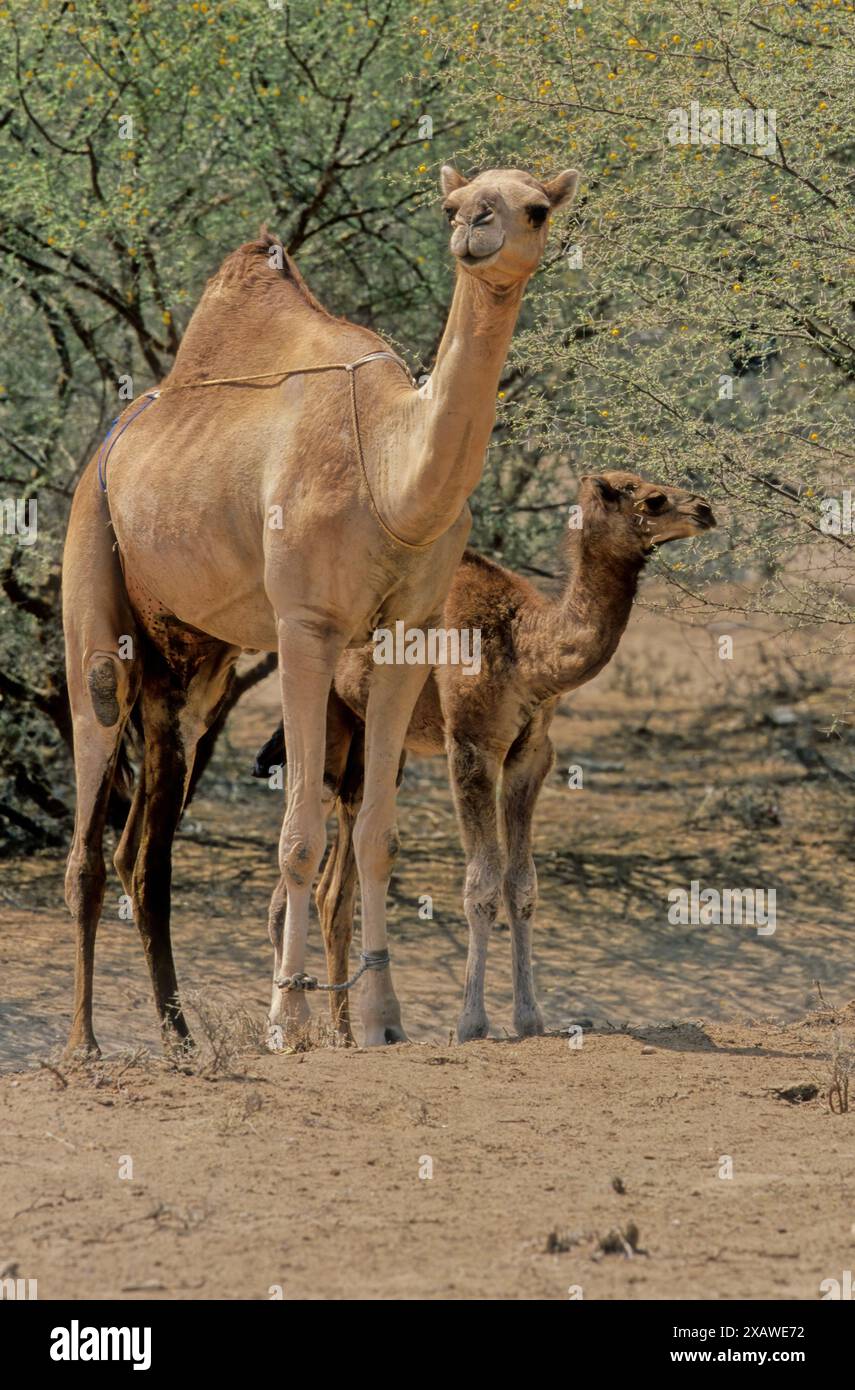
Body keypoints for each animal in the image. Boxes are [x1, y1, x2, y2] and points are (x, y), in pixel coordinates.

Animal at [61, 164, 580, 1056]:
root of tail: (114, 435)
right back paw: (86, 1045)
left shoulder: (408, 633)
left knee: (145, 845)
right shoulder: (304, 627)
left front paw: (380, 1020)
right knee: (92, 791)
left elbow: (375, 836)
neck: (389, 474)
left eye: (536, 209)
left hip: (189, 662)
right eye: (452, 204)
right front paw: (289, 1020)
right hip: (89, 560)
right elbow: (299, 834)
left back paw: (179, 1039)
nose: (475, 229)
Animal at [254, 471, 716, 1041]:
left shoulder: (530, 754)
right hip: (328, 718)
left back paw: (345, 1035)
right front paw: (472, 1022)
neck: (526, 647)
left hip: (372, 744)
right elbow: (482, 885)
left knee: (334, 889)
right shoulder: (471, 746)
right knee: (296, 860)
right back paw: (292, 1026)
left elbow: (522, 884)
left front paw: (529, 1017)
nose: (705, 509)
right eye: (651, 499)